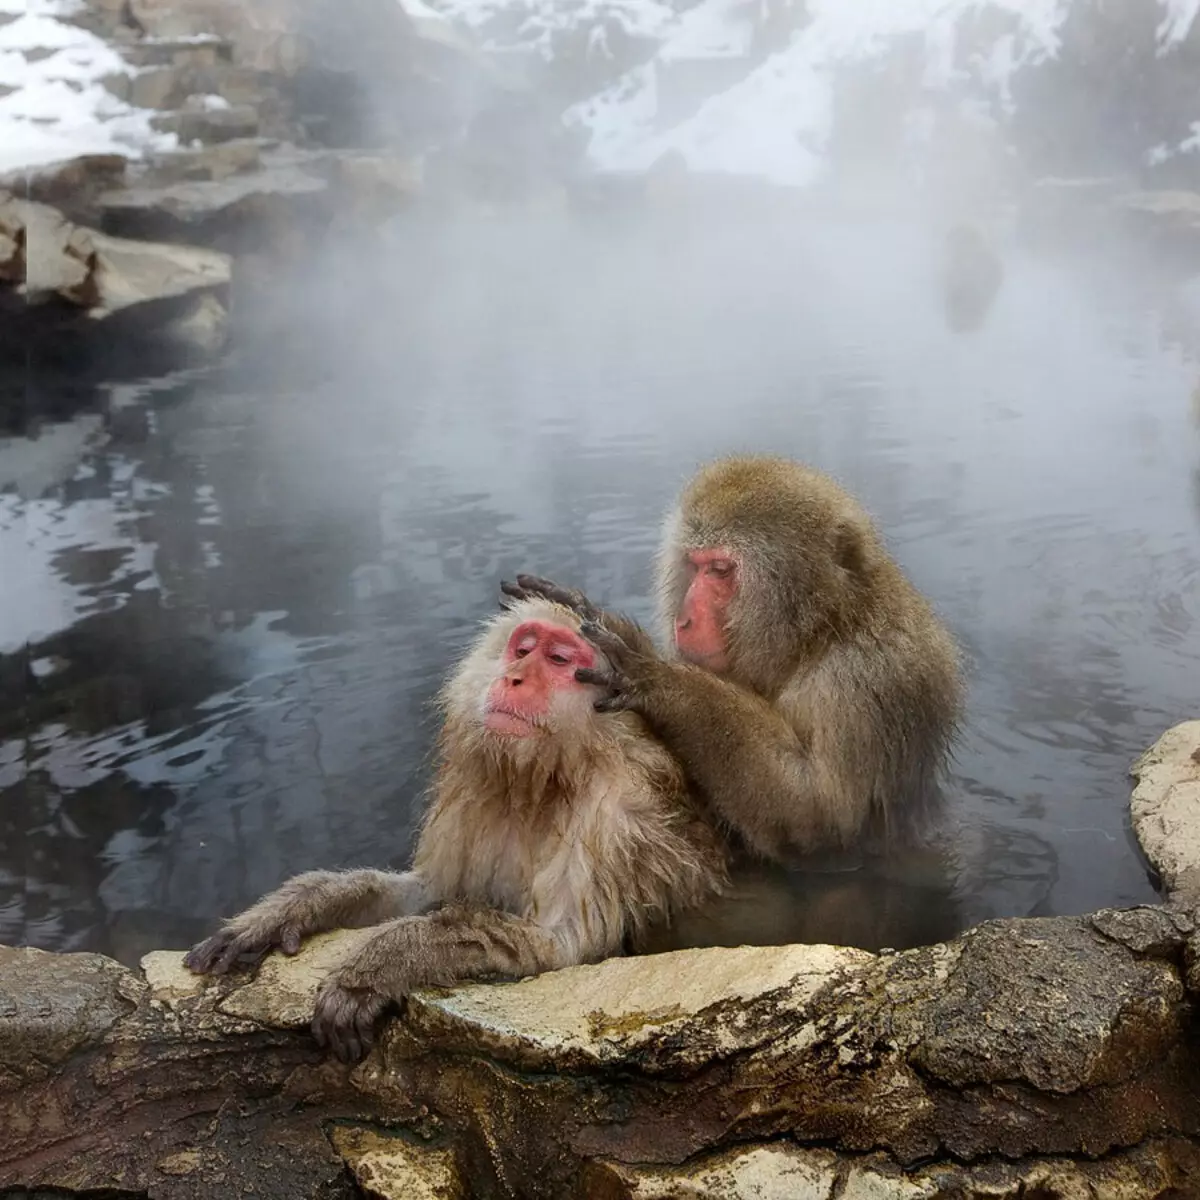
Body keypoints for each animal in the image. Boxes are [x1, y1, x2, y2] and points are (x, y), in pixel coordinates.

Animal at [182, 597, 724, 1060]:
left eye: (558, 659)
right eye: (523, 649)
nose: (514, 678)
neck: (548, 775)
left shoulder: (616, 821)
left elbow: (565, 949)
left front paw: (381, 964)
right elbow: (429, 891)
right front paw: (292, 909)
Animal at [506, 456, 964, 864]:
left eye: (720, 570)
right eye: (694, 565)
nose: (684, 620)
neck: (820, 631)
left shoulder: (864, 679)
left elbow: (821, 820)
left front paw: (653, 677)